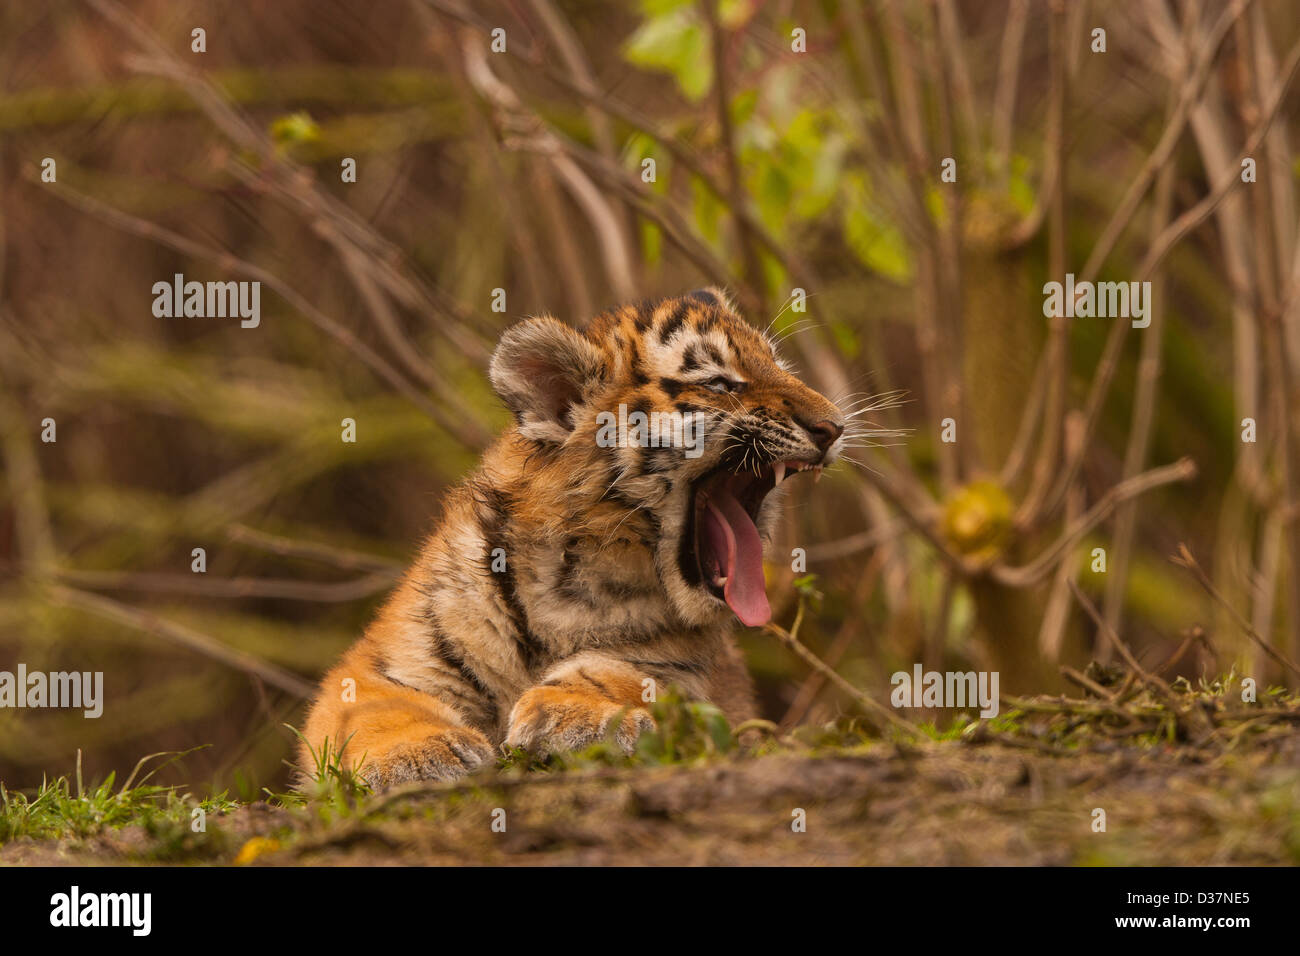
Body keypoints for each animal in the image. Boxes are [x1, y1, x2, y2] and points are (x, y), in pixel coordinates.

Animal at [299, 288, 847, 788]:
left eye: (780, 366)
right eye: (718, 383)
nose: (834, 426)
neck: (574, 571)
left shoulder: (671, 665)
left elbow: (619, 673)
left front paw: (569, 713)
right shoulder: (382, 663)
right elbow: (379, 709)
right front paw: (419, 754)